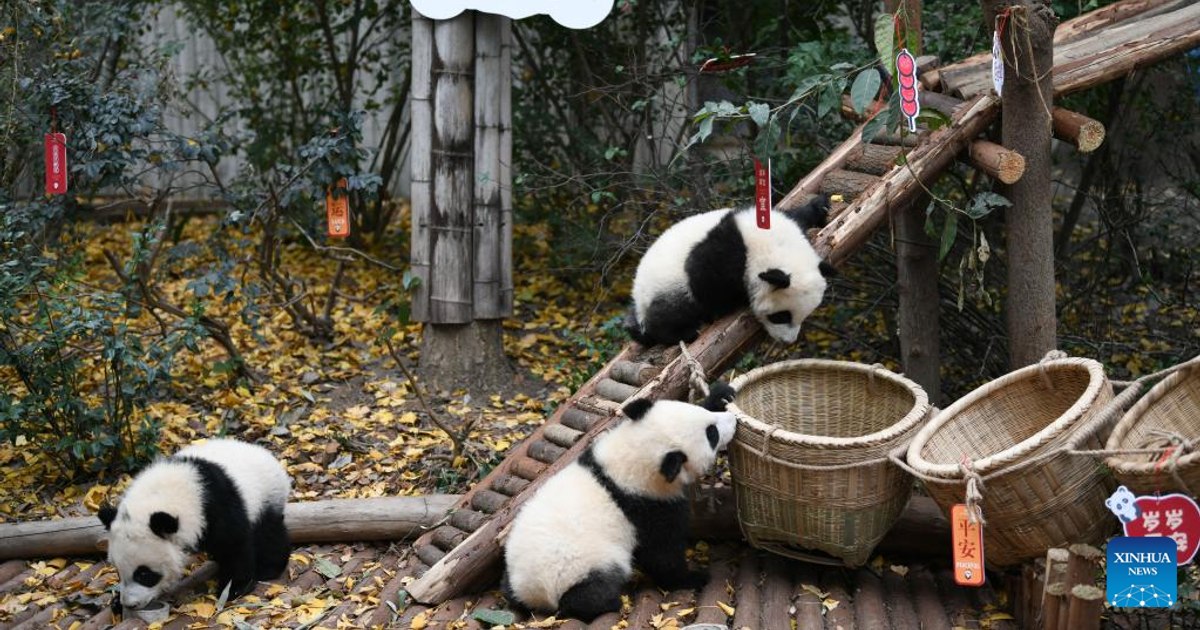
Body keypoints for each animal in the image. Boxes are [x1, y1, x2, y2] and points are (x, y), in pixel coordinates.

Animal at [98, 438, 292, 610]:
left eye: (144, 574)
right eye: (118, 571)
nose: (130, 604)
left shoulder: (215, 506)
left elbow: (235, 544)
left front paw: (233, 588)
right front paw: (115, 602)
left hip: (266, 495)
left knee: (268, 532)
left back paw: (269, 568)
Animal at [502, 383, 738, 622]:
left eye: (704, 415)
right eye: (712, 434)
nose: (733, 420)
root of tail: (533, 593)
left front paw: (721, 394)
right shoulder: (647, 507)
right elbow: (661, 553)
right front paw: (693, 577)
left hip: (514, 567)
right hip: (584, 565)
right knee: (589, 591)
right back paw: (607, 602)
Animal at [626, 195, 835, 347]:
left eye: (805, 316)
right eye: (781, 316)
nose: (788, 341)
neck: (770, 244)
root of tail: (637, 295)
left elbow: (799, 215)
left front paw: (820, 206)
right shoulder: (724, 253)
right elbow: (705, 282)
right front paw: (732, 302)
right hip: (665, 287)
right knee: (670, 313)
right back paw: (683, 332)